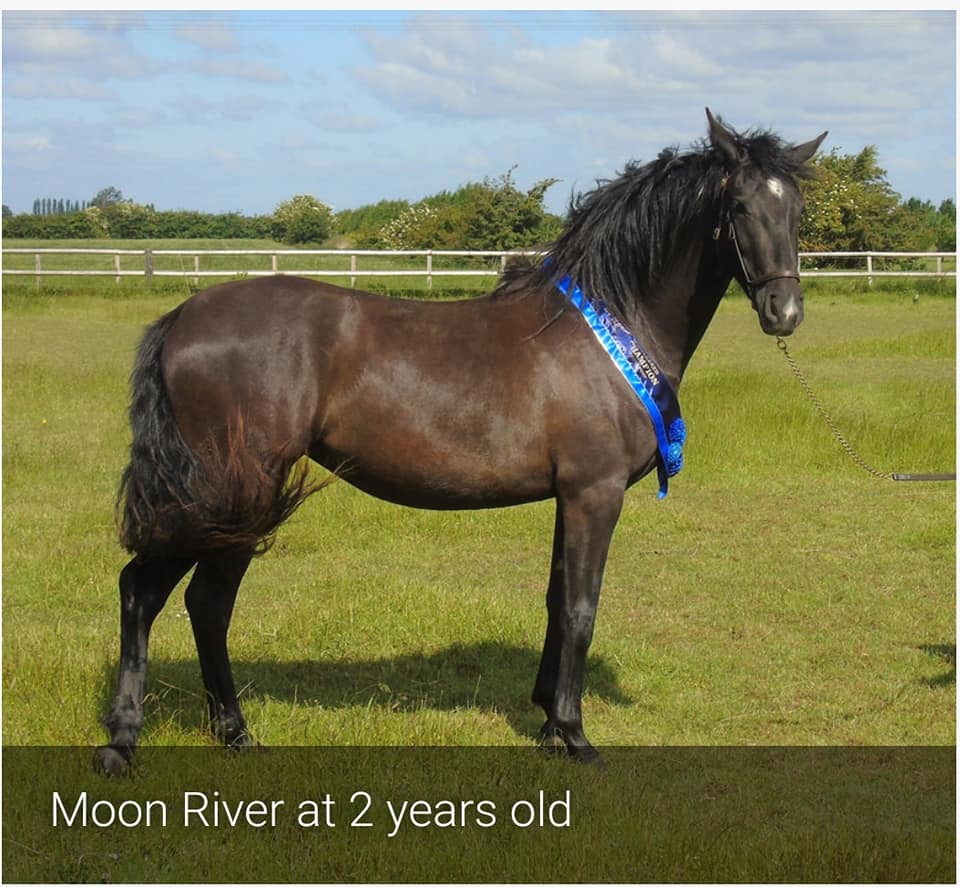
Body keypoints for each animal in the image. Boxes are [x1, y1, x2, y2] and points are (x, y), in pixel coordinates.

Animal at [95, 109, 826, 774]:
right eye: (738, 205)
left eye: (797, 210)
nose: (784, 312)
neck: (607, 327)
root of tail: (182, 316)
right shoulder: (595, 492)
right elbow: (582, 608)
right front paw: (576, 735)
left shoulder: (569, 495)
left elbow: (557, 600)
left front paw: (547, 721)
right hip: (232, 490)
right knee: (166, 594)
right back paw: (141, 740)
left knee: (184, 598)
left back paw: (221, 733)